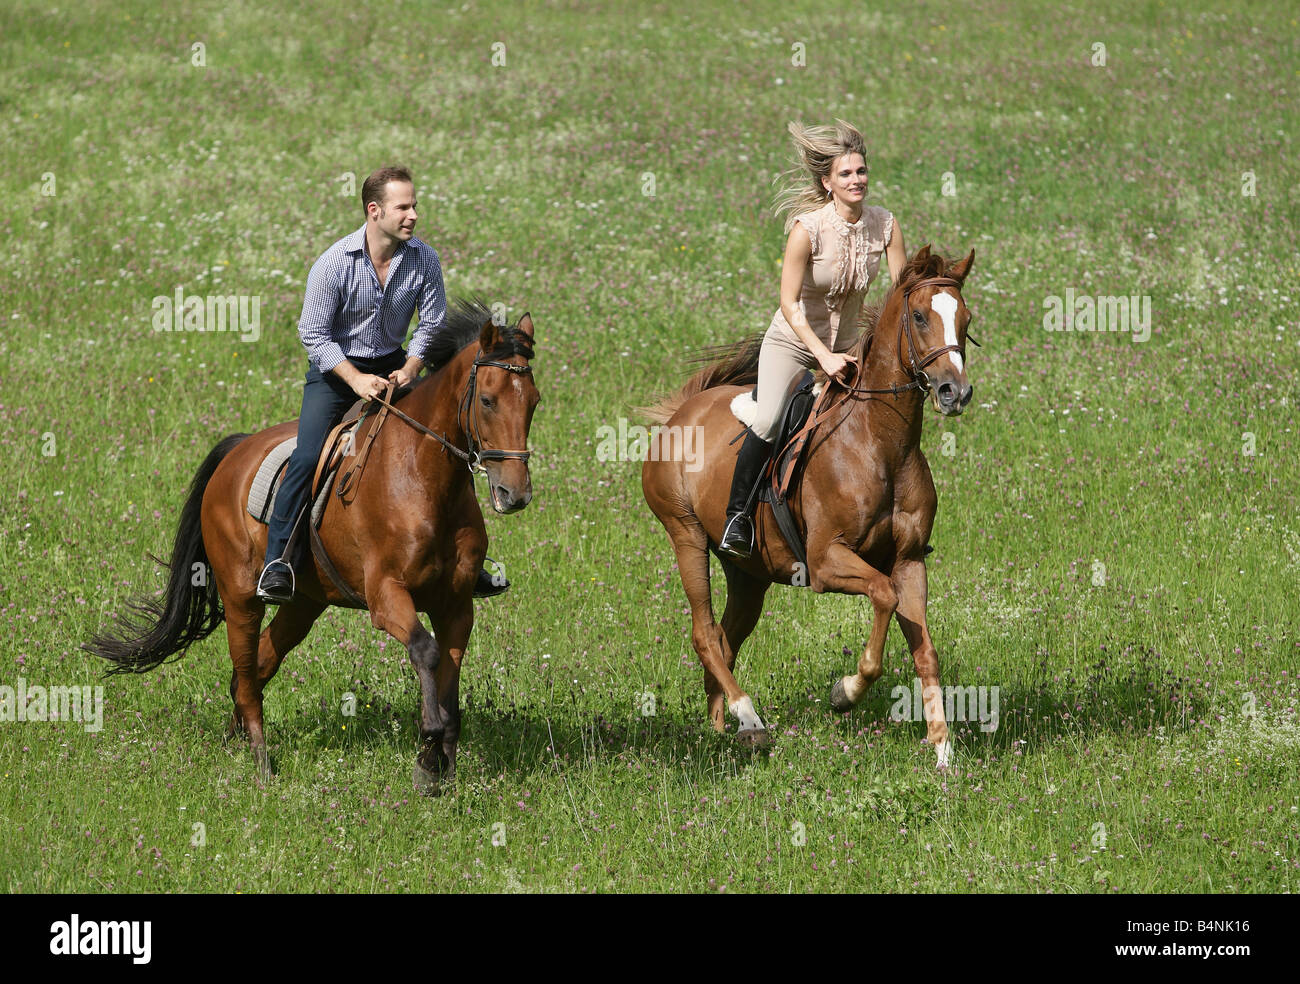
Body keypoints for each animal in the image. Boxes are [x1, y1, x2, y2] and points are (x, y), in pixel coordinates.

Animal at [84, 299, 540, 794]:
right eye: (488, 400)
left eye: (534, 402)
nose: (515, 494)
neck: (424, 481)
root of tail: (234, 455)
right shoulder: (386, 597)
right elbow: (426, 652)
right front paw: (427, 753)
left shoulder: (456, 604)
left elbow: (449, 676)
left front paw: (445, 767)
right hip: (242, 598)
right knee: (247, 671)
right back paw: (261, 762)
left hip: (304, 603)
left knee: (258, 664)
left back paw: (234, 741)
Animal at [641, 246, 975, 767]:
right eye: (920, 316)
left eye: (965, 318)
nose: (954, 393)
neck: (881, 443)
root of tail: (681, 413)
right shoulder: (824, 561)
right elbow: (882, 596)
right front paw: (845, 692)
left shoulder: (909, 560)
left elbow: (925, 649)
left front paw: (943, 752)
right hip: (686, 536)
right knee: (704, 633)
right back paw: (750, 718)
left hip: (749, 574)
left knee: (725, 638)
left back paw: (724, 729)